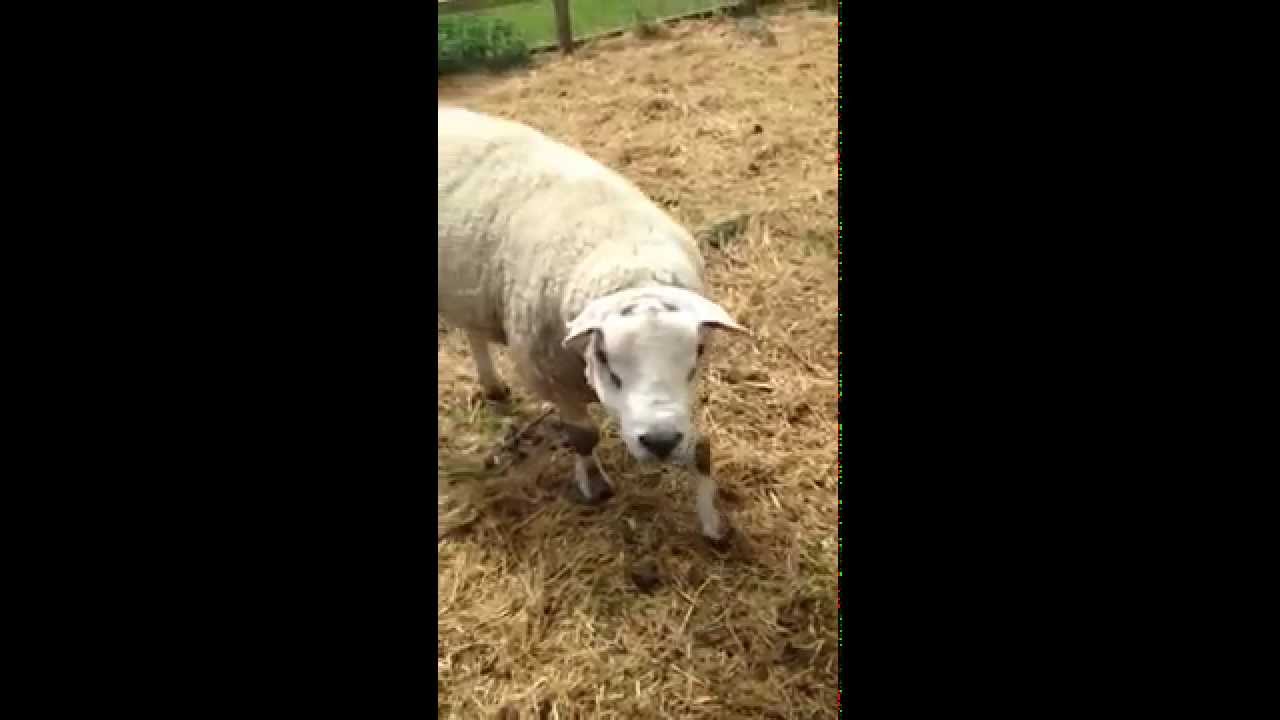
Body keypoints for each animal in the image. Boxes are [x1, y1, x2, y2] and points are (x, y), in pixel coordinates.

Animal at [438, 106, 748, 545]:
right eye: (605, 359)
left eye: (698, 355)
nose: (660, 442)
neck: (631, 265)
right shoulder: (550, 376)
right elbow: (583, 437)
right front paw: (594, 486)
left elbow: (701, 449)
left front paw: (713, 523)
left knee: (473, 330)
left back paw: (492, 385)